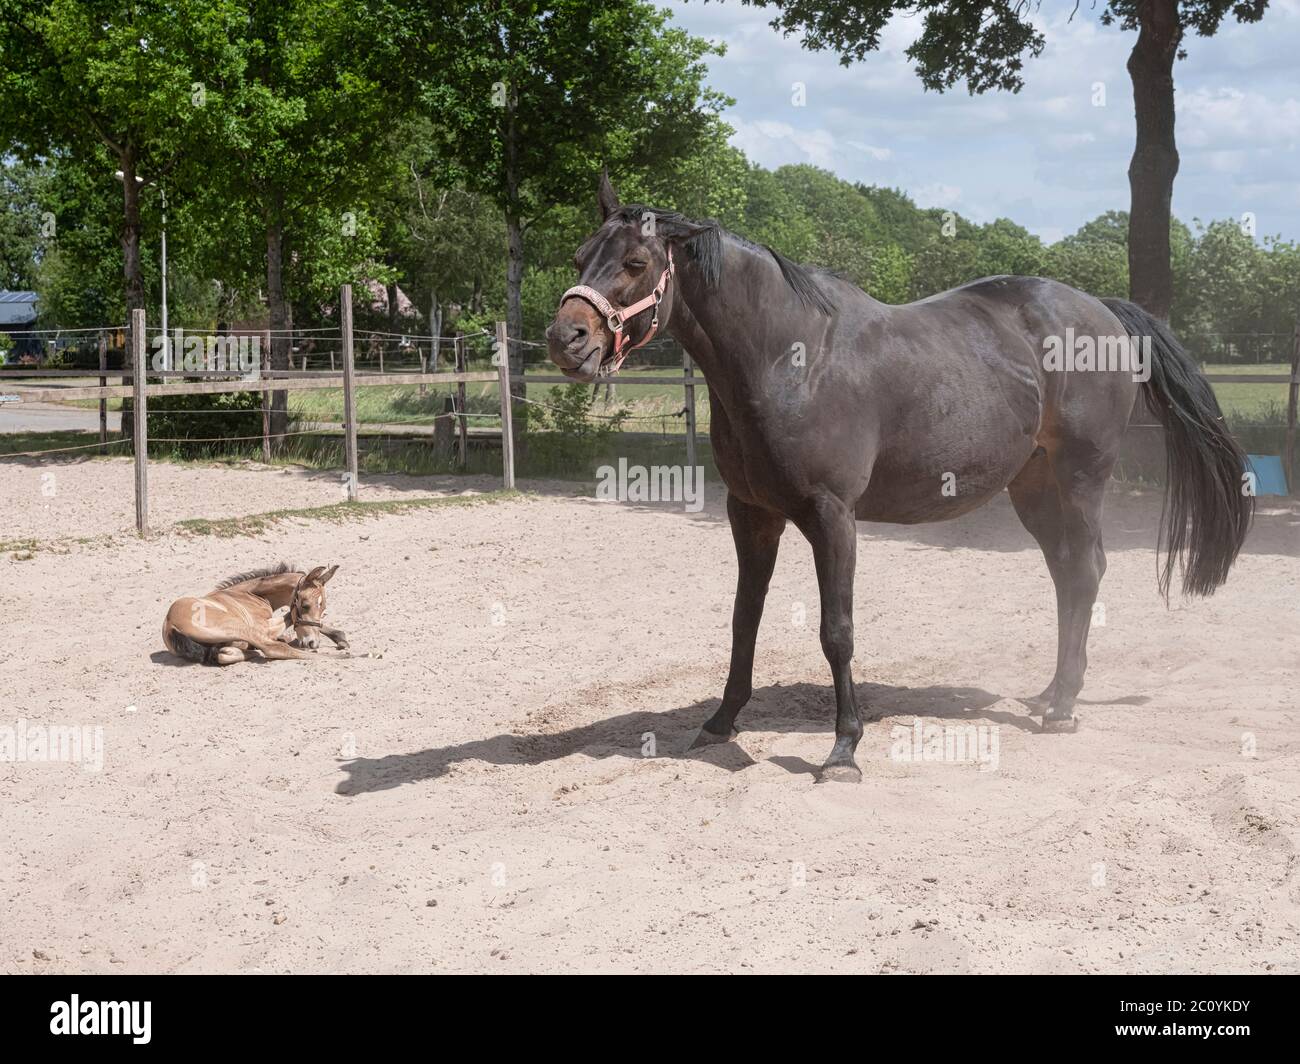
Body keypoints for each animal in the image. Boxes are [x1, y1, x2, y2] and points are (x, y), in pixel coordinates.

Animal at [162, 563, 349, 666]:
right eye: (305, 605)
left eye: (323, 607)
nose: (312, 643)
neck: (251, 594)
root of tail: (171, 625)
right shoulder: (263, 626)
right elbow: (289, 617)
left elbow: (289, 618)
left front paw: (340, 638)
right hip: (241, 628)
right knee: (273, 649)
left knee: (223, 654)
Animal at [546, 173, 1252, 783]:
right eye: (580, 255)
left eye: (636, 263)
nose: (566, 339)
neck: (789, 358)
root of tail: (1100, 310)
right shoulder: (751, 513)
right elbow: (744, 618)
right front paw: (720, 722)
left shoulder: (833, 517)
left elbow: (837, 632)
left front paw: (843, 750)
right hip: (1033, 487)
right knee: (1066, 576)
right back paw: (1052, 690)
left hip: (1081, 479)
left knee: (1086, 569)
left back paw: (1063, 706)